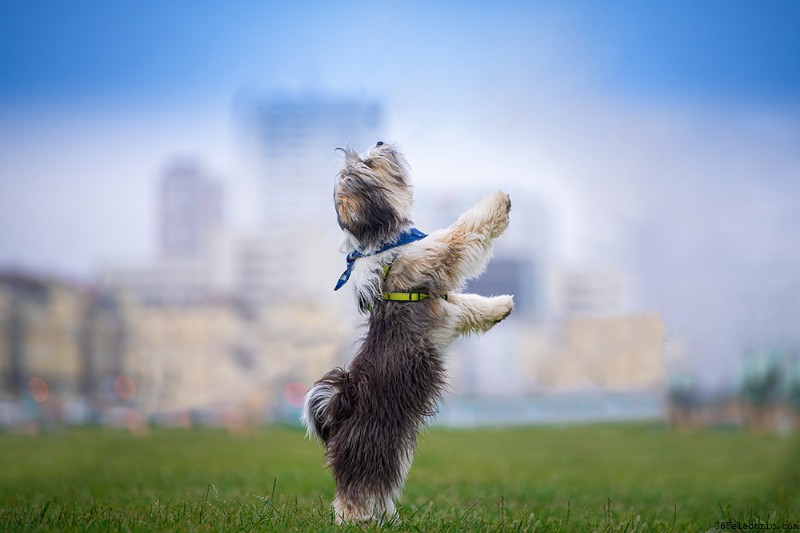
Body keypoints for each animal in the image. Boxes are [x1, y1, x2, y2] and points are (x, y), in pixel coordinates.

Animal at [300, 141, 512, 524]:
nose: (382, 143)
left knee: (377, 490)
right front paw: (498, 202)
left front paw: (501, 307)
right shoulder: (436, 255)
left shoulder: (448, 308)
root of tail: (341, 407)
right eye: (369, 164)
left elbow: (471, 307)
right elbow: (462, 231)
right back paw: (356, 521)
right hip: (371, 453)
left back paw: (387, 519)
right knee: (352, 494)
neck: (383, 245)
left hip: (388, 457)